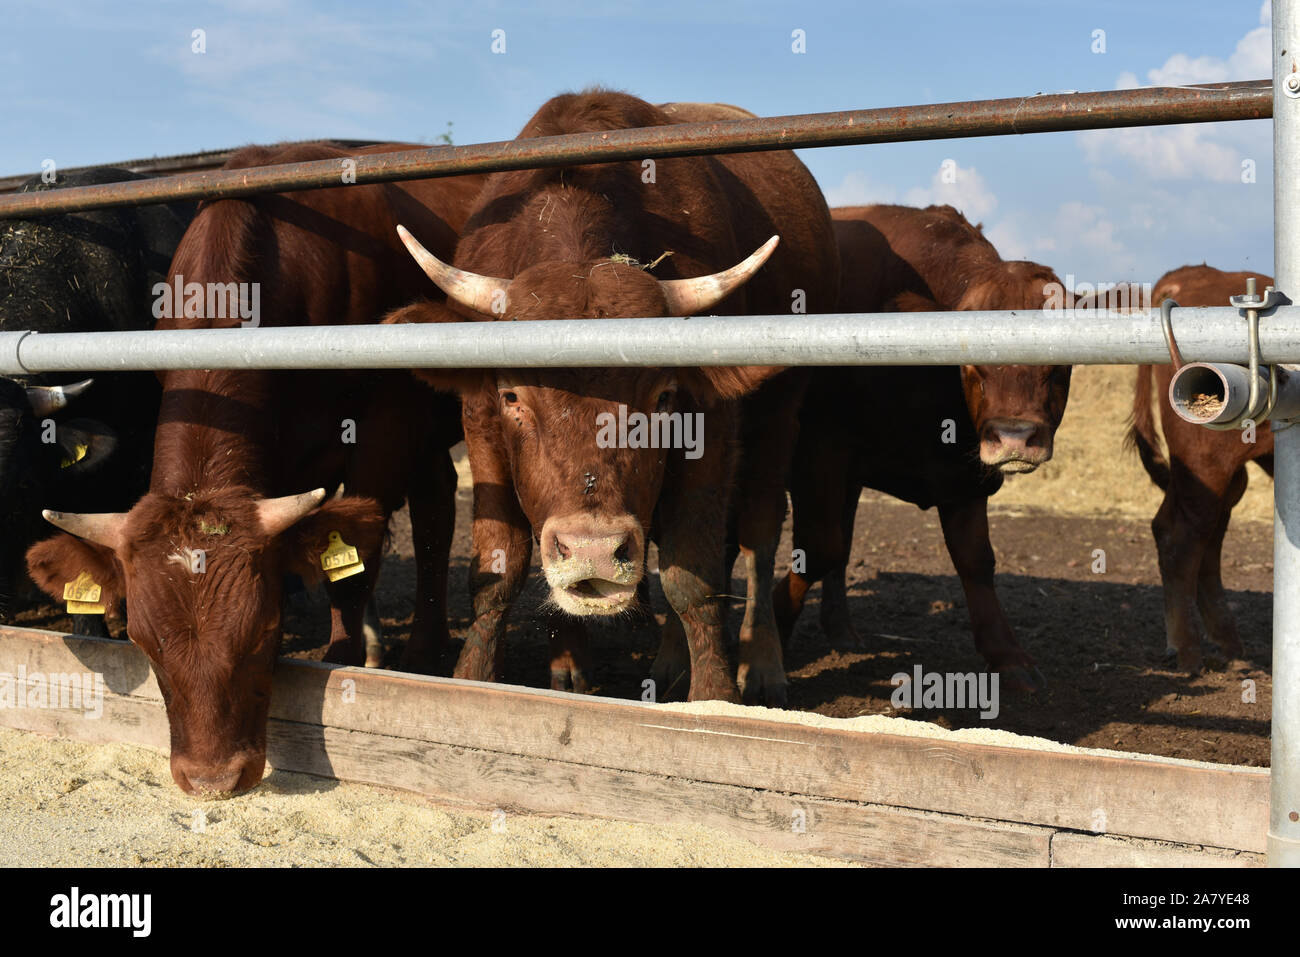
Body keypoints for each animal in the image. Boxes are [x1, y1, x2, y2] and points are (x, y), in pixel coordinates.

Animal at [25, 143, 483, 796]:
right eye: (143, 642)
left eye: (267, 630)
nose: (213, 779)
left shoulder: (386, 421)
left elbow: (352, 568)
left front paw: (344, 660)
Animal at [386, 91, 839, 704]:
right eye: (512, 395)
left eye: (665, 395)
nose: (594, 552)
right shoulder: (478, 424)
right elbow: (498, 566)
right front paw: (474, 681)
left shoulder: (712, 427)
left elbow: (691, 573)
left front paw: (715, 698)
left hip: (779, 417)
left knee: (757, 533)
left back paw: (761, 663)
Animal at [773, 204, 1072, 692]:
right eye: (973, 362)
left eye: (1060, 361)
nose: (1014, 436)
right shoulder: (818, 451)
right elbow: (815, 549)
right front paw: (769, 637)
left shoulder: (965, 476)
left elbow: (976, 560)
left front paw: (1006, 654)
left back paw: (842, 629)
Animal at [1128, 265, 1273, 672]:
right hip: (1206, 463)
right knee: (1182, 541)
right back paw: (1188, 650)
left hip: (1218, 478)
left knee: (1199, 540)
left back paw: (1228, 644)